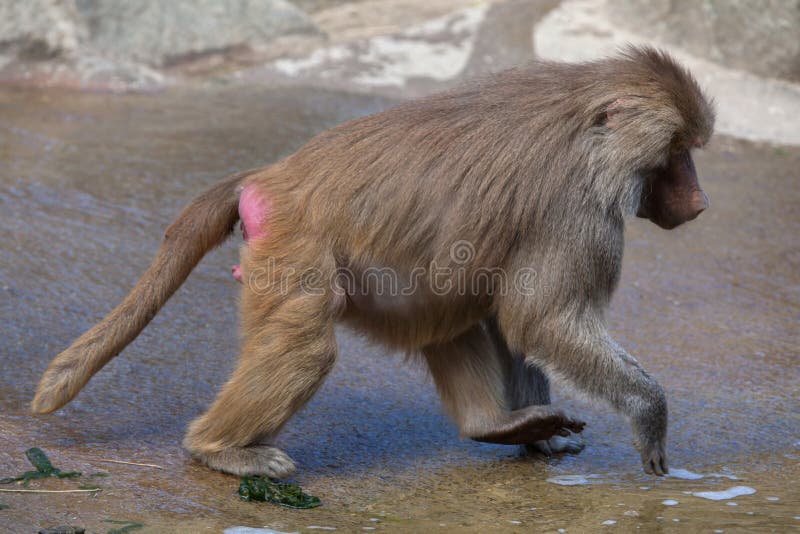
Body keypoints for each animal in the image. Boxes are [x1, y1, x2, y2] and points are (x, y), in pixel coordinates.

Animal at [32, 46, 714, 478]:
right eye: (676, 151)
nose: (701, 203)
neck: (582, 120)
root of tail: (273, 176)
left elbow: (517, 321)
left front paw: (537, 438)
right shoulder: (577, 213)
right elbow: (543, 319)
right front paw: (650, 416)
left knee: (451, 306)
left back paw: (492, 427)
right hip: (294, 247)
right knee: (307, 344)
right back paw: (219, 450)